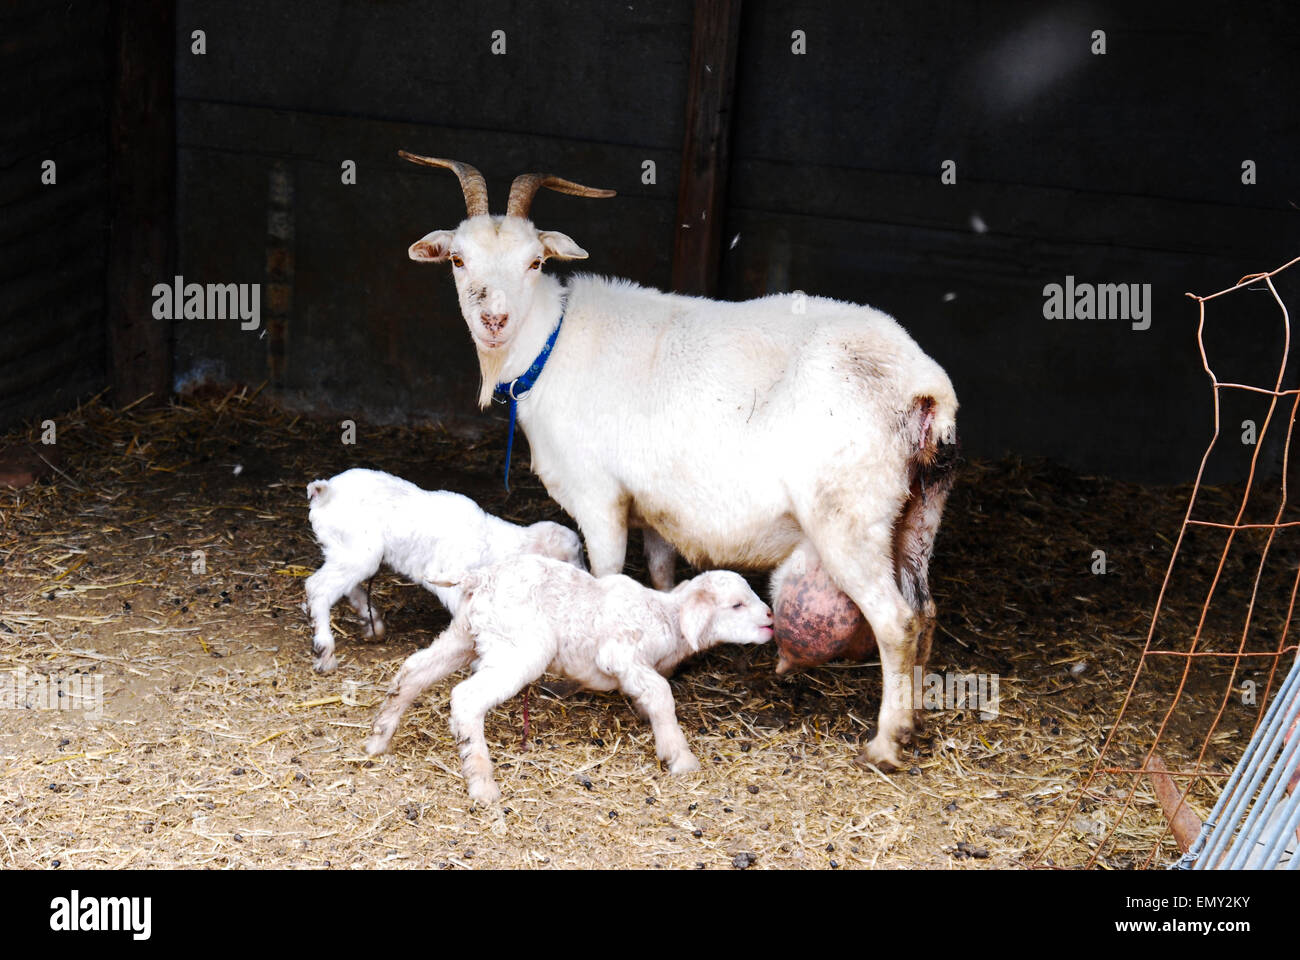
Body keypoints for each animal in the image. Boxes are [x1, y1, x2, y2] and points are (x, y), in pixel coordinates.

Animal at [303, 467, 584, 673]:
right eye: (571, 560)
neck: (494, 543)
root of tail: (326, 491)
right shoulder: (450, 578)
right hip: (358, 552)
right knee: (317, 588)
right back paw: (326, 651)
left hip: (348, 552)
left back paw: (371, 620)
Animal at [364, 554, 774, 803]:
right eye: (736, 605)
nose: (771, 618)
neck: (666, 615)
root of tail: (483, 576)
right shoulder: (620, 653)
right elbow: (661, 692)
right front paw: (679, 755)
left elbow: (649, 692)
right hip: (521, 647)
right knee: (467, 698)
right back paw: (481, 782)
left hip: (467, 634)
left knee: (414, 670)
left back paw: (378, 738)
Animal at [399, 152, 958, 769]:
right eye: (458, 259)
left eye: (535, 261)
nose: (493, 320)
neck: (548, 347)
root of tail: (925, 389)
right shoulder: (653, 506)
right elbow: (662, 579)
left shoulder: (598, 496)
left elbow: (606, 577)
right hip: (919, 510)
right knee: (925, 611)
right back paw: (916, 718)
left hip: (849, 517)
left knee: (896, 620)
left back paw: (886, 742)